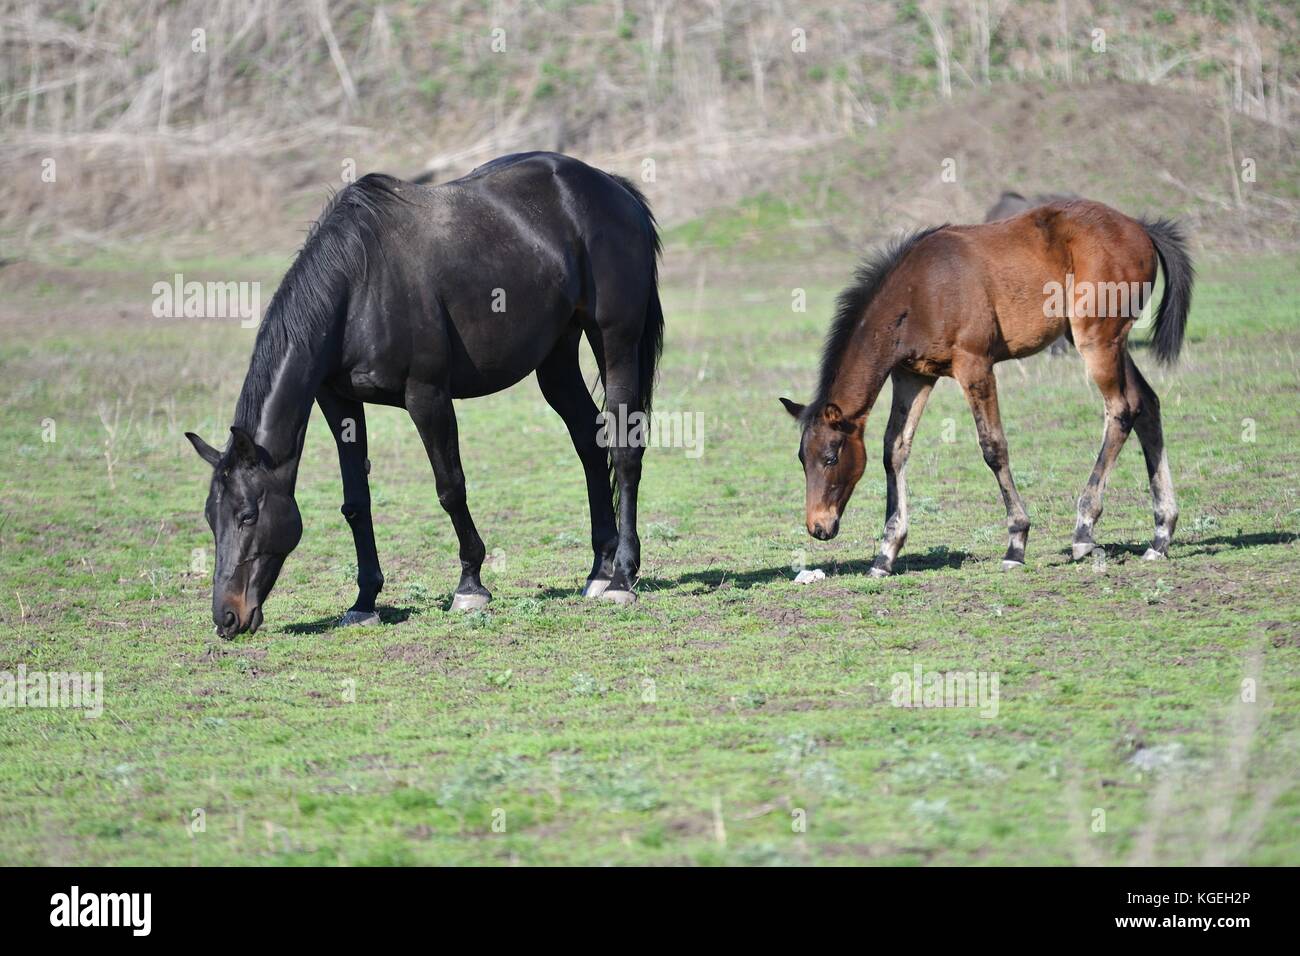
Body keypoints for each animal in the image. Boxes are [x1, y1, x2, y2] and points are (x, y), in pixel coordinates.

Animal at [185, 152, 664, 639]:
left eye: (247, 515)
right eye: (210, 517)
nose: (226, 617)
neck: (358, 286)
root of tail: (616, 189)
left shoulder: (427, 396)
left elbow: (450, 487)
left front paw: (470, 587)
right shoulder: (339, 401)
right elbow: (357, 501)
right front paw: (365, 600)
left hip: (615, 341)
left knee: (625, 451)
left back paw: (622, 576)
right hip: (556, 356)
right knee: (589, 442)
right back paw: (599, 571)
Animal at [780, 199, 1193, 576]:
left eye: (830, 457)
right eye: (802, 458)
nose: (818, 526)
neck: (920, 292)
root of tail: (1140, 228)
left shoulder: (974, 365)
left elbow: (993, 447)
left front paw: (1016, 542)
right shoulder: (913, 376)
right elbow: (893, 450)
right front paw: (886, 553)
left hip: (1097, 338)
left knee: (1122, 409)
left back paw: (1084, 530)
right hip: (1107, 341)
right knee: (1147, 404)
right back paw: (1160, 536)